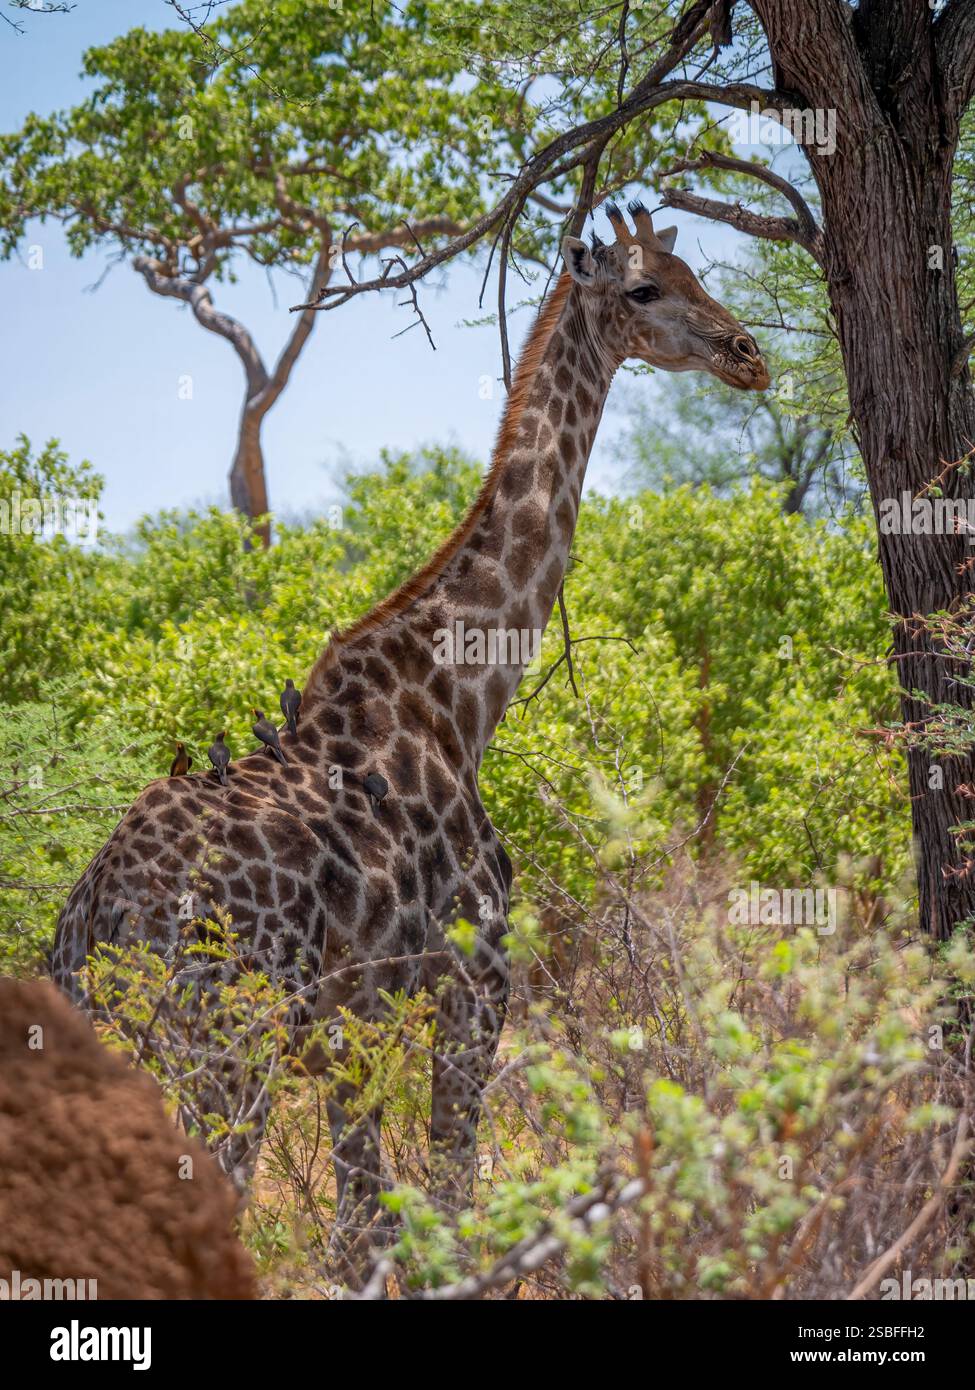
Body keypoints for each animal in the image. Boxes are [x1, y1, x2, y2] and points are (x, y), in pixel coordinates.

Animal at [51, 201, 768, 1271]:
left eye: (697, 272)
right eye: (644, 288)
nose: (747, 354)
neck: (461, 697)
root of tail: (100, 920)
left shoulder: (346, 1024)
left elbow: (368, 1223)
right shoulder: (475, 981)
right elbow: (450, 1199)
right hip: (224, 1045)